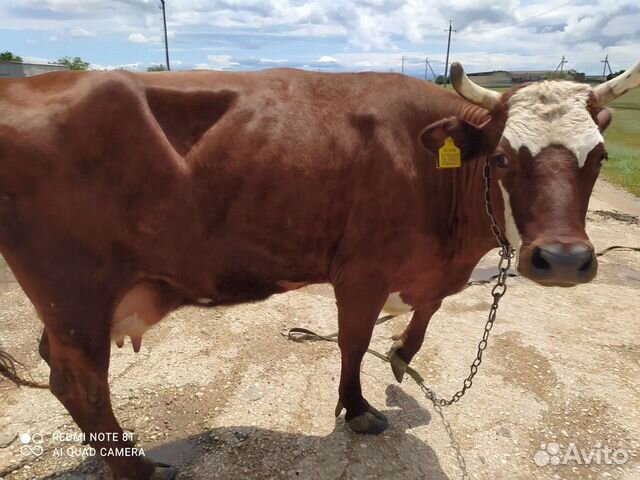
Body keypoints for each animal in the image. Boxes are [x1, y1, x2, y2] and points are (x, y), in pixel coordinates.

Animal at [1, 60, 639, 480]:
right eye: (503, 157)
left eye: (600, 156)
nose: (563, 260)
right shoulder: (362, 270)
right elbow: (353, 341)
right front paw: (358, 411)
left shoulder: (424, 271)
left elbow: (424, 315)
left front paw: (401, 356)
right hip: (75, 294)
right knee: (79, 383)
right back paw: (139, 470)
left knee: (61, 374)